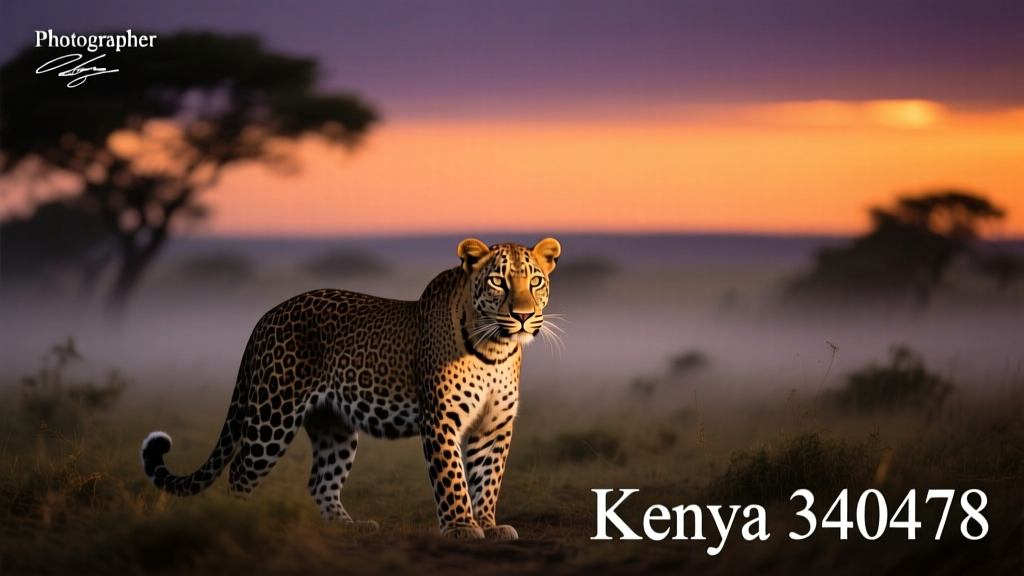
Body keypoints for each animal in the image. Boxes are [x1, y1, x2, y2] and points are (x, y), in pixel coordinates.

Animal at [140, 238, 561, 540]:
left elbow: (487, 478)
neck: (496, 349)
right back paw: (238, 522)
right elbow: (453, 476)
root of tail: (266, 316)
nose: (523, 316)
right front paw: (461, 527)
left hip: (333, 423)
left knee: (320, 481)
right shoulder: (441, 419)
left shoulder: (494, 426)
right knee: (241, 470)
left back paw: (349, 526)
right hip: (272, 415)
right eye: (498, 281)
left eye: (535, 281)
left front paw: (488, 524)